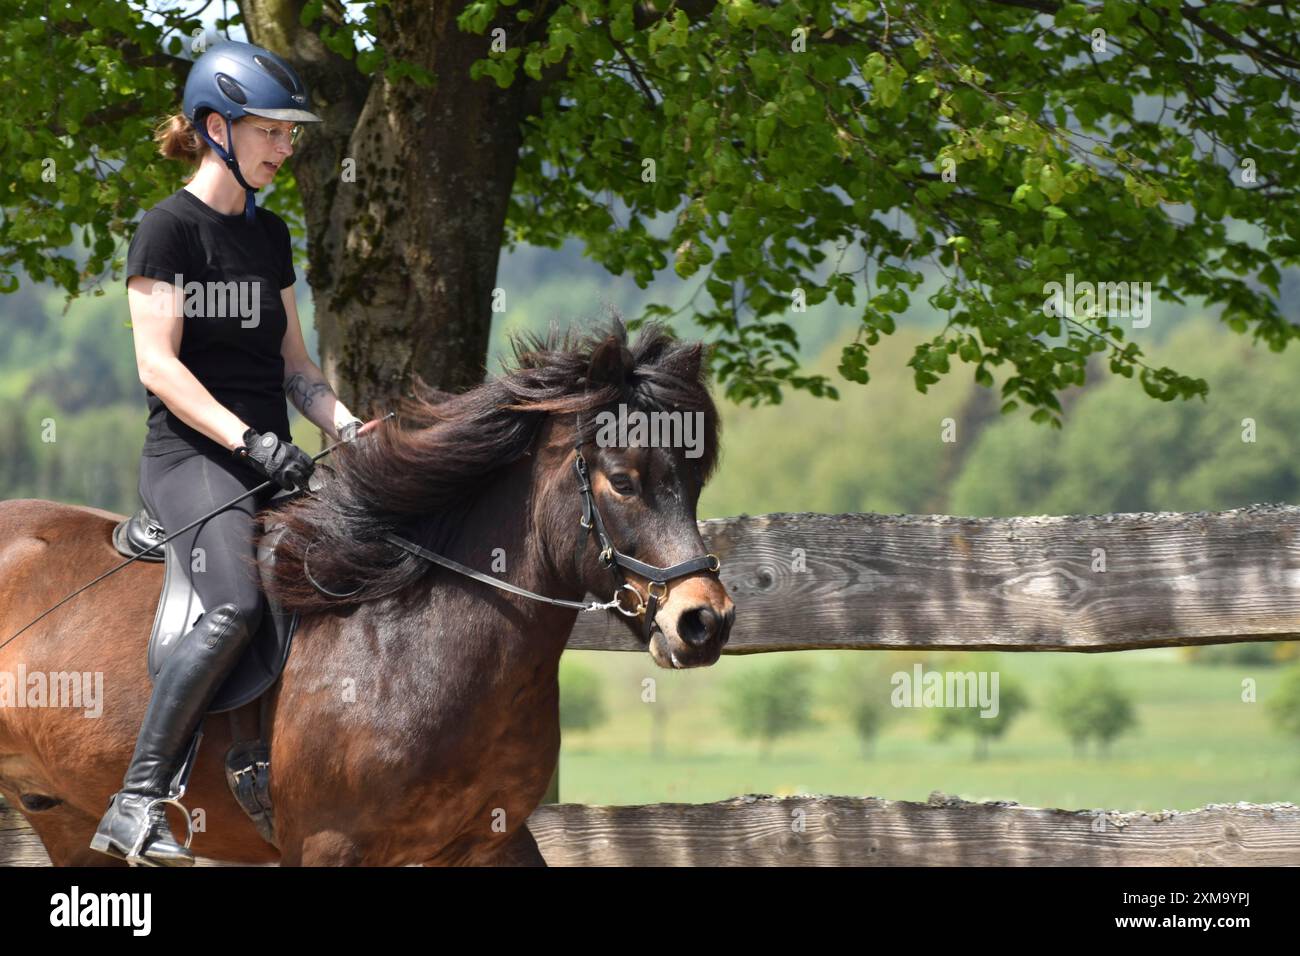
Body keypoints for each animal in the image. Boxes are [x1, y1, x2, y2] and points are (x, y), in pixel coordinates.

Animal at [0, 320, 735, 866]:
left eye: (695, 482)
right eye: (623, 481)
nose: (705, 622)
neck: (411, 641)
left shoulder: (489, 838)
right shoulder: (330, 844)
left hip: (62, 815)